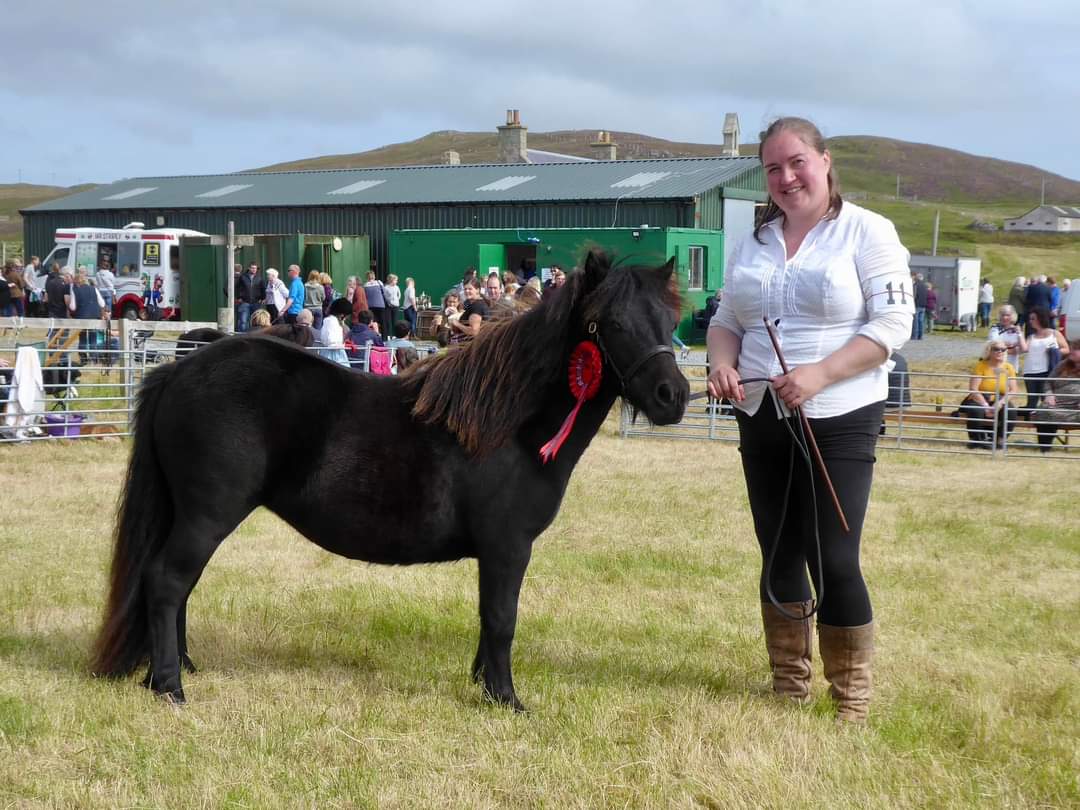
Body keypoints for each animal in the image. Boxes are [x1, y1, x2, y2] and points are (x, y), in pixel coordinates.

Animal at [91, 249, 689, 711]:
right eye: (611, 324)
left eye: (667, 321)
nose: (674, 397)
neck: (509, 425)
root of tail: (179, 371)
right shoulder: (508, 547)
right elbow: (502, 618)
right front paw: (506, 698)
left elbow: (488, 621)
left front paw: (483, 682)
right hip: (207, 514)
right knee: (167, 581)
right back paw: (169, 687)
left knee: (177, 585)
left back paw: (175, 668)